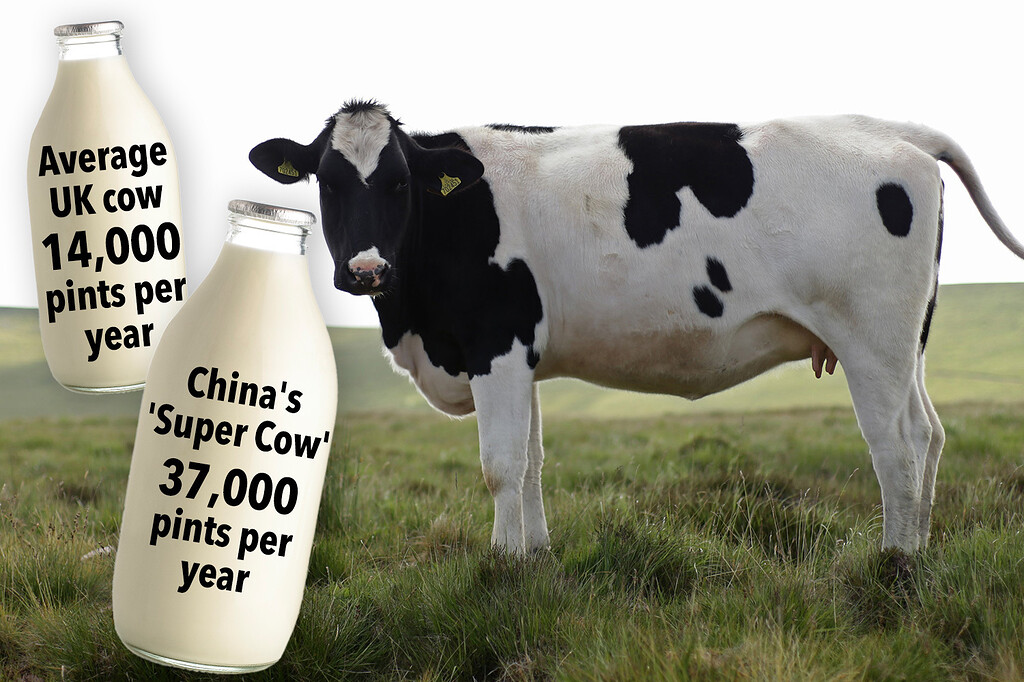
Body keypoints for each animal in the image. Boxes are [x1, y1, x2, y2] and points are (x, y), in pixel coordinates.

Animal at [250, 100, 1024, 556]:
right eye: (326, 182)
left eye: (400, 182)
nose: (365, 269)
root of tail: (884, 127)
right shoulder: (523, 355)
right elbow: (532, 462)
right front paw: (535, 559)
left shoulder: (495, 345)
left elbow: (500, 465)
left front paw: (501, 563)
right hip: (905, 345)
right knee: (929, 435)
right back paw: (918, 555)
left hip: (871, 338)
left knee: (896, 447)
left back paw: (894, 564)